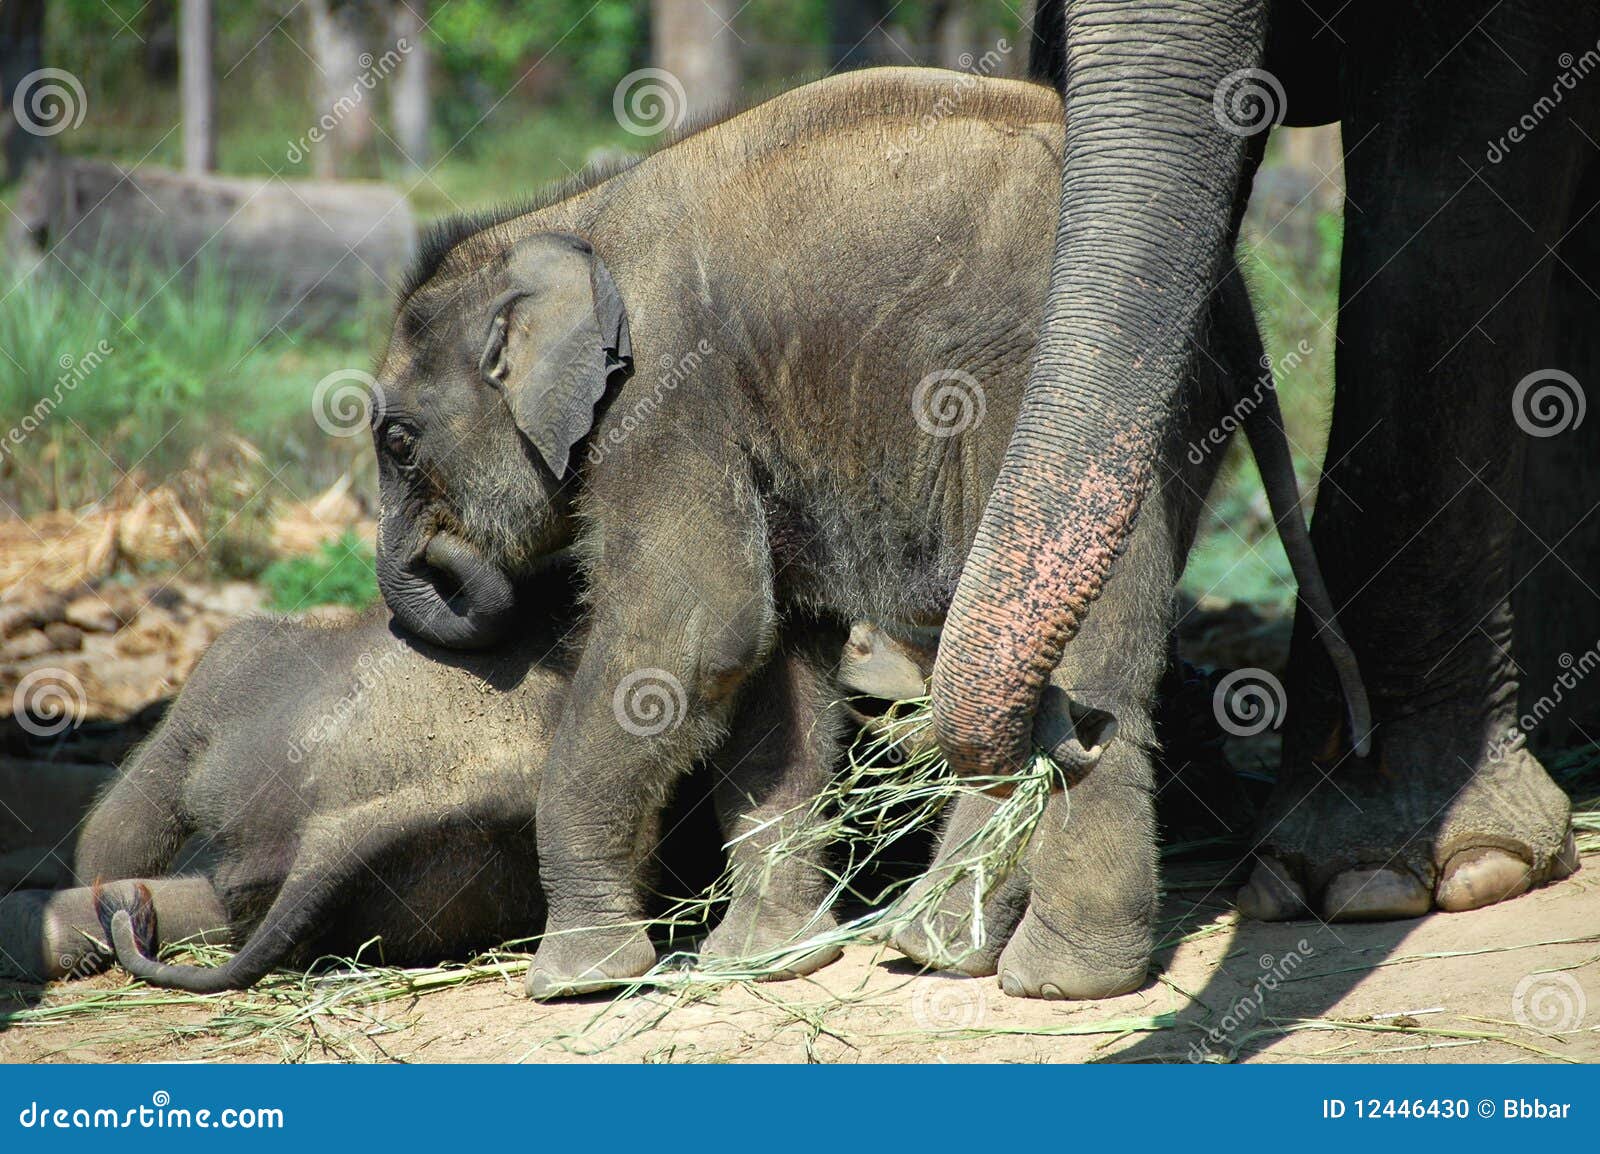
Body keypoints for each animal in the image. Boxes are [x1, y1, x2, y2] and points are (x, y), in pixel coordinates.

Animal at [371, 66, 1366, 998]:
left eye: (396, 441)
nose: (445, 558)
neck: (563, 219)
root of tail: (1233, 289)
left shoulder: (665, 403)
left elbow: (692, 629)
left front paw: (578, 981)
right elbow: (774, 661)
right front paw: (764, 962)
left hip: (1032, 394)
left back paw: (1034, 972)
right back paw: (961, 945)